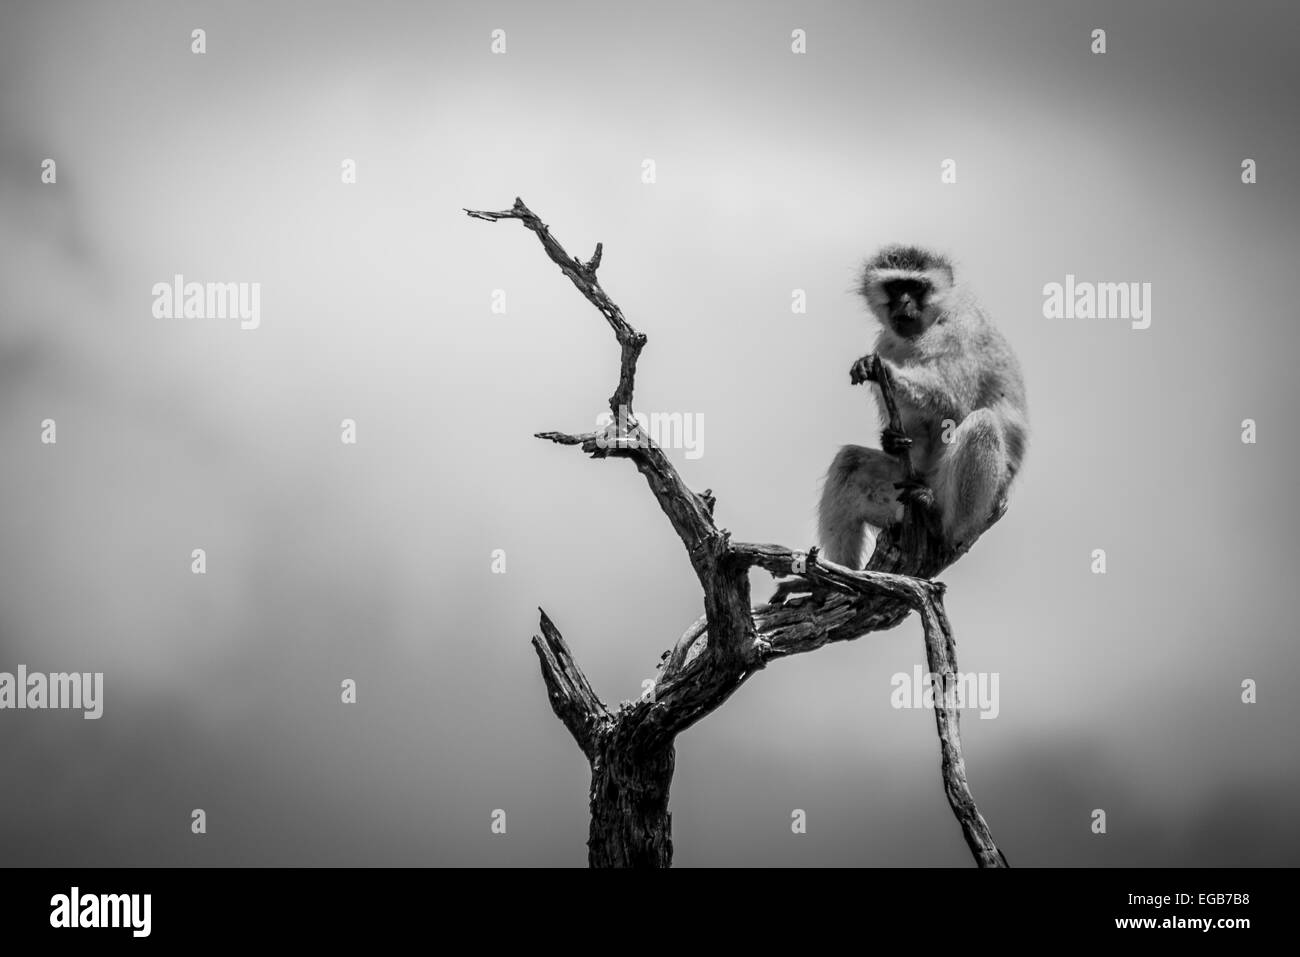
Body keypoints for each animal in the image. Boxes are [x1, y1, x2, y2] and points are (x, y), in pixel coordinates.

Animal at [817, 245, 1028, 569]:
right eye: (896, 287)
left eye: (916, 288)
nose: (904, 302)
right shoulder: (886, 342)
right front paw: (891, 440)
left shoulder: (957, 329)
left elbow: (954, 402)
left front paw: (887, 372)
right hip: (898, 501)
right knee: (848, 462)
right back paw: (838, 573)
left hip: (978, 500)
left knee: (983, 424)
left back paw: (939, 524)